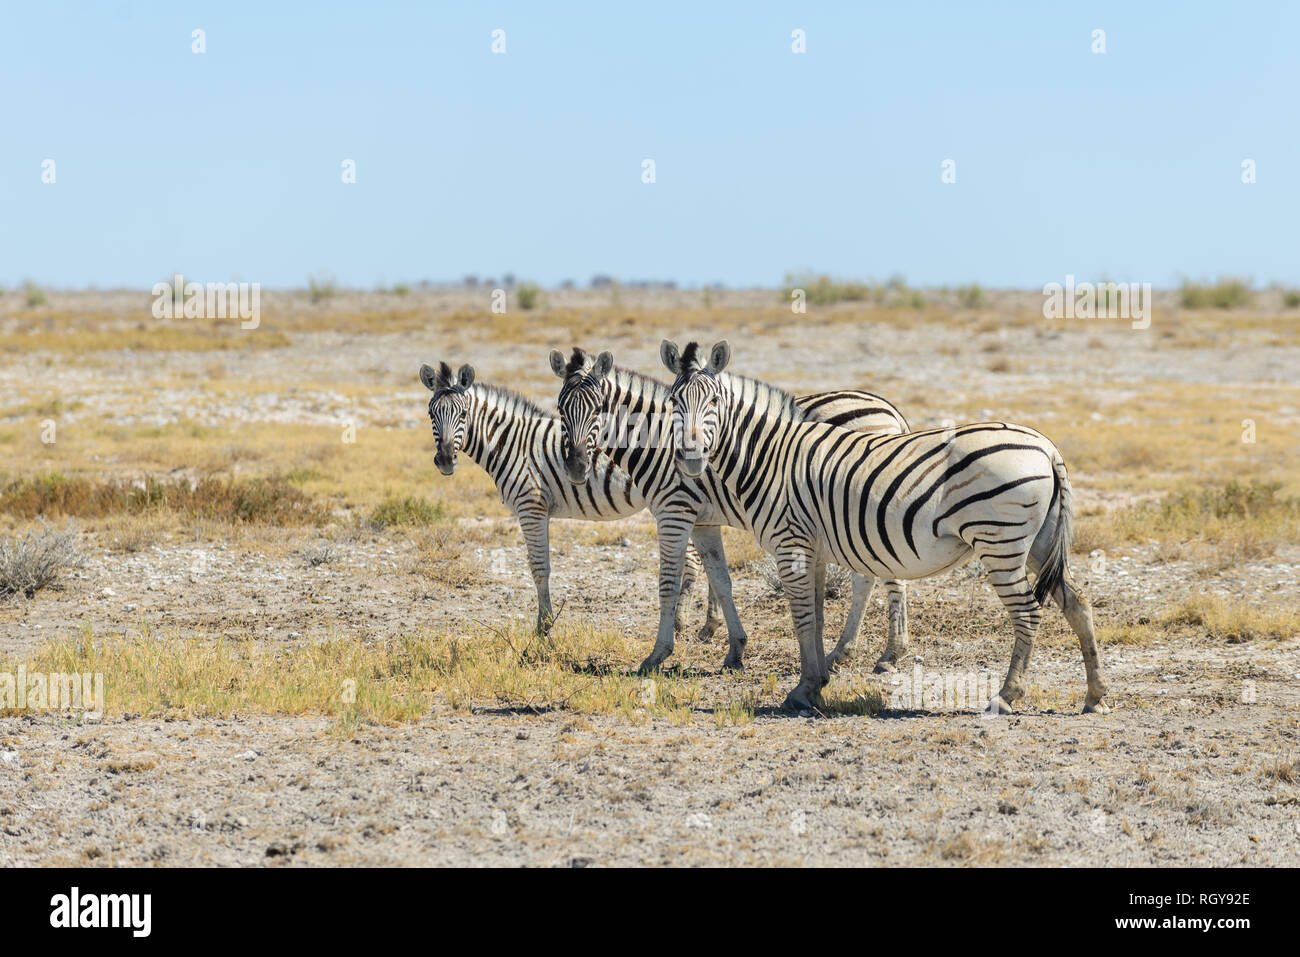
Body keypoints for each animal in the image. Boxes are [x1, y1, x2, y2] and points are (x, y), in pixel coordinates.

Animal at [419, 360, 716, 636]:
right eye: (431, 414)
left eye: (463, 414)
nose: (445, 461)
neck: (512, 444)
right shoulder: (539, 510)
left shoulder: (531, 507)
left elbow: (539, 567)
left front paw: (544, 627)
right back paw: (708, 626)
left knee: (694, 560)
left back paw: (682, 623)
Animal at [549, 347, 912, 675]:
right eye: (559, 408)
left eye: (599, 409)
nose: (576, 467)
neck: (658, 442)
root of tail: (890, 410)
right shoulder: (703, 523)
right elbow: (721, 581)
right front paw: (735, 650)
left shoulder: (674, 511)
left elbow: (668, 582)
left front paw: (658, 654)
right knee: (867, 576)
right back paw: (844, 652)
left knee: (877, 575)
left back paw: (888, 654)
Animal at [659, 340, 1111, 716]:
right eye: (673, 402)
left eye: (713, 401)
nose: (691, 458)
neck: (772, 456)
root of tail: (1046, 447)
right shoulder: (812, 549)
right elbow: (816, 617)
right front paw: (817, 681)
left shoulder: (791, 544)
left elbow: (801, 617)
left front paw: (802, 691)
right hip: (1037, 542)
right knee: (1078, 602)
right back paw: (1095, 696)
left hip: (1000, 541)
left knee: (1029, 613)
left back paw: (1006, 696)